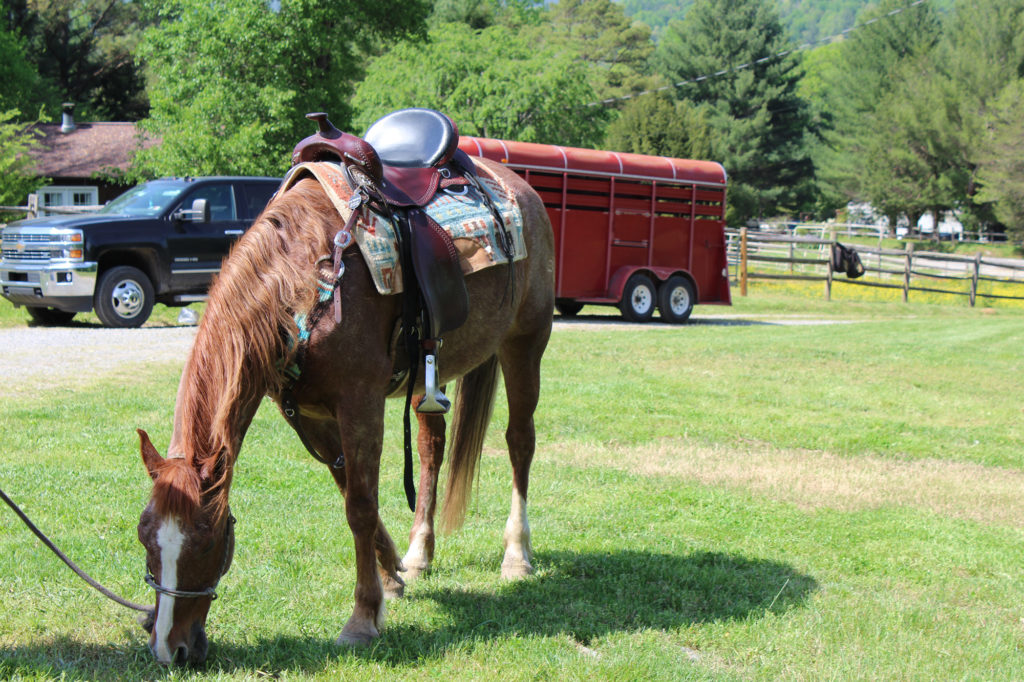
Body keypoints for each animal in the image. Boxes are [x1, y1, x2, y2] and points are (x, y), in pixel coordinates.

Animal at [134, 157, 554, 665]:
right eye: (144, 536)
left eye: (207, 539)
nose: (168, 647)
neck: (304, 284)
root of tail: (517, 185)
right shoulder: (309, 415)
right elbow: (350, 493)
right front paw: (392, 572)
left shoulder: (360, 404)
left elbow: (360, 506)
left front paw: (363, 617)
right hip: (429, 380)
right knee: (432, 450)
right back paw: (420, 553)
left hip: (525, 344)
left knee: (520, 443)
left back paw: (517, 554)